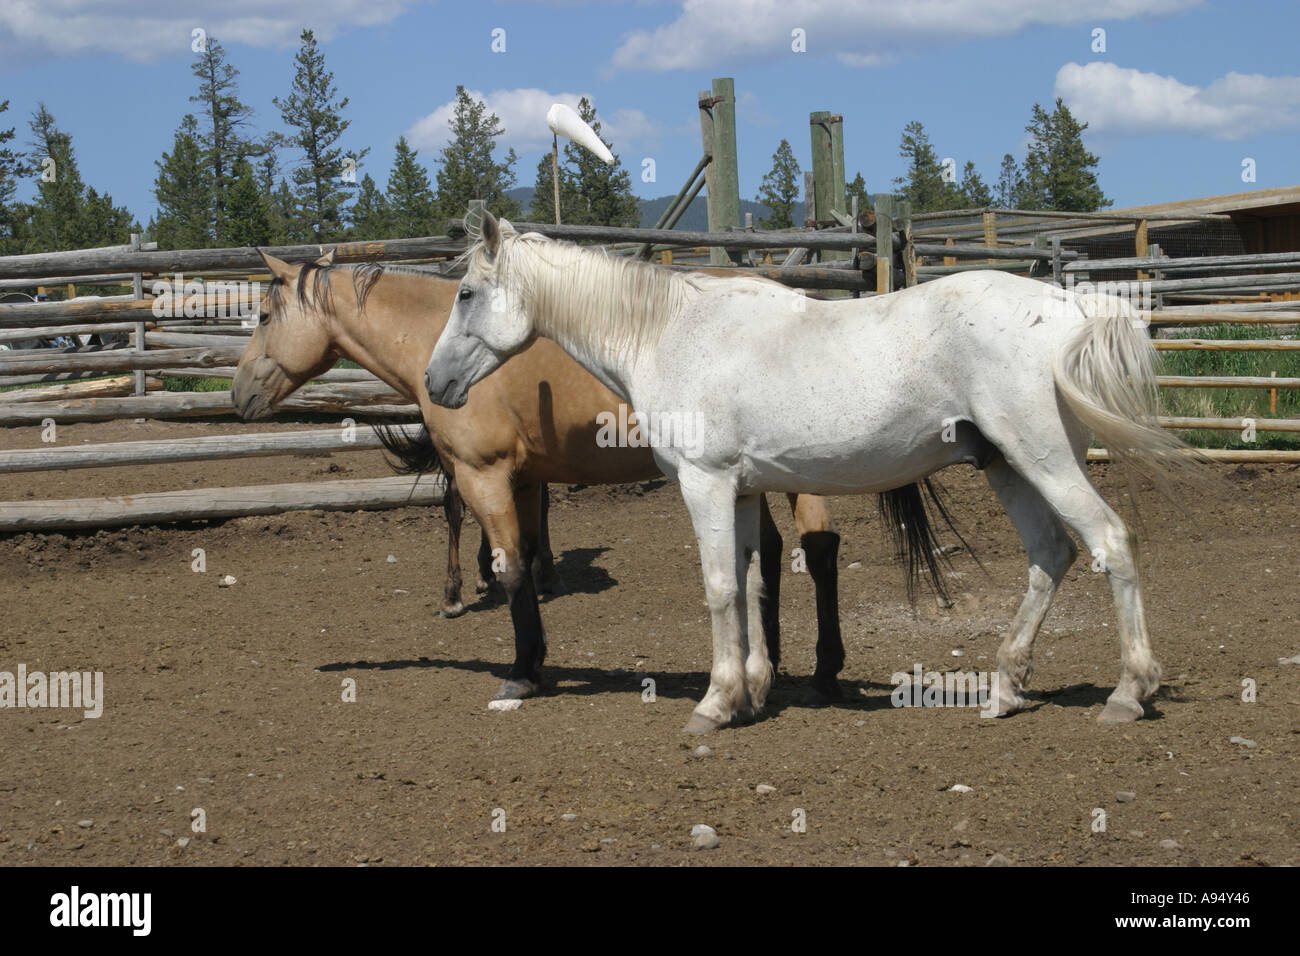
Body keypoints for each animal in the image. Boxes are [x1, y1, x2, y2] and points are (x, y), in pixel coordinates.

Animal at [231, 249, 858, 702]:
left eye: (261, 316)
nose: (239, 394)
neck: (444, 338)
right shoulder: (526, 480)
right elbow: (528, 560)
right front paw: (534, 653)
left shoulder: (481, 476)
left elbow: (509, 570)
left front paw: (521, 672)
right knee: (776, 551)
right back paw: (778, 662)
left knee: (817, 547)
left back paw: (822, 671)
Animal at [424, 213, 1205, 734]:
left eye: (465, 294)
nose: (435, 383)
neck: (669, 333)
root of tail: (1070, 305)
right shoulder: (740, 490)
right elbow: (751, 585)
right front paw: (751, 693)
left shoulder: (704, 483)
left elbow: (718, 589)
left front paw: (713, 704)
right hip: (1007, 466)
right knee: (1051, 554)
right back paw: (1004, 689)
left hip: (1043, 459)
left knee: (1109, 543)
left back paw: (1128, 693)